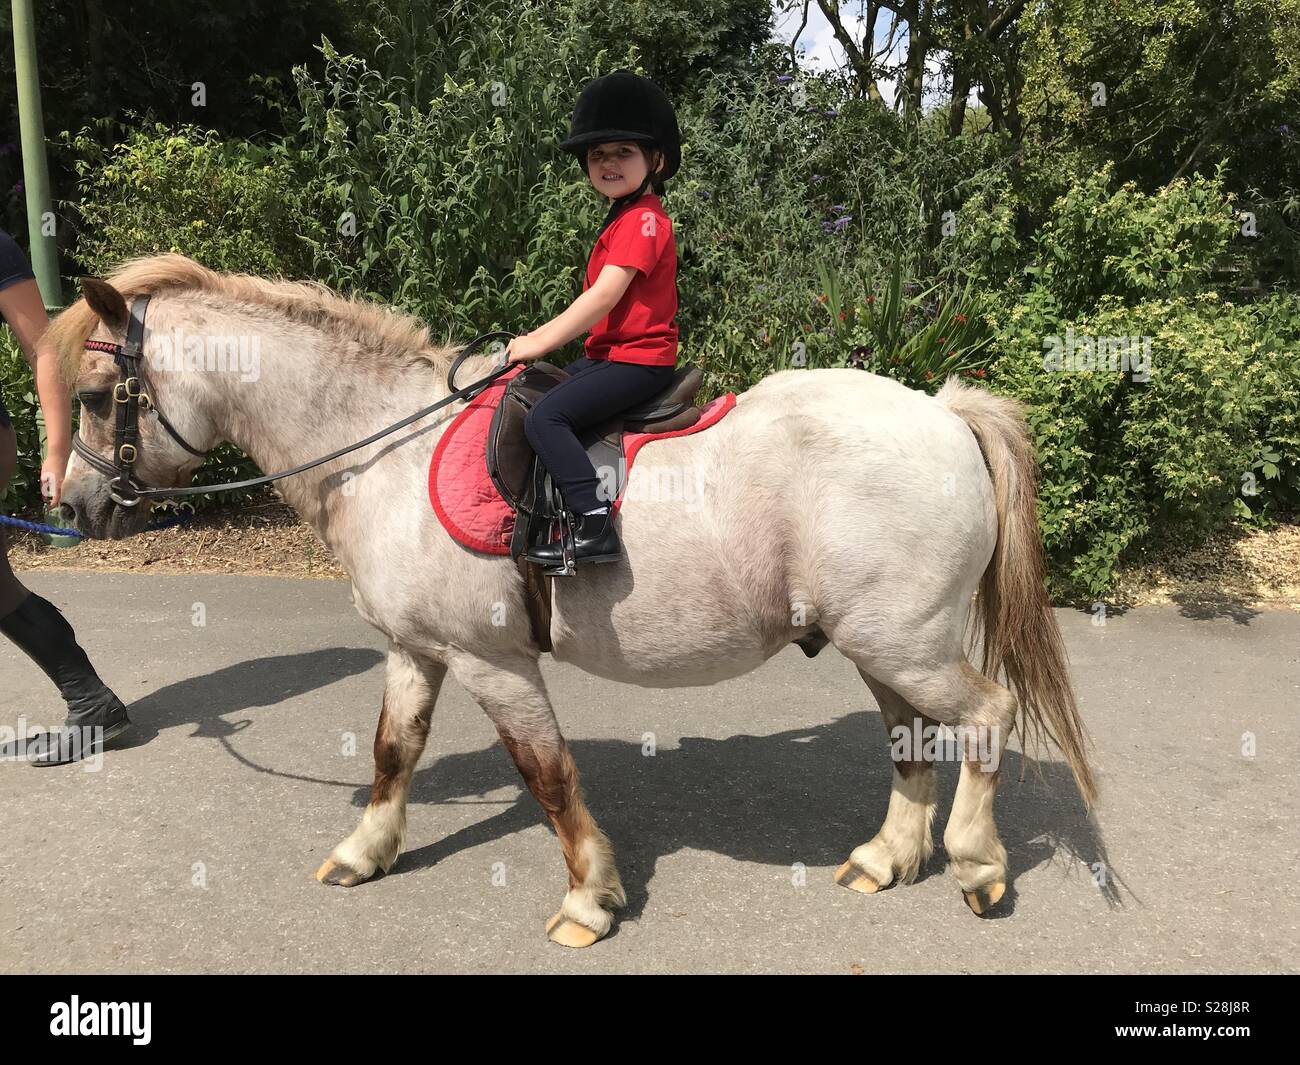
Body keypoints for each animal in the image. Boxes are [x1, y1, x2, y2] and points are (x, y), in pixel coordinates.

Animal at [47, 253, 1095, 948]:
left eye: (97, 393)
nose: (73, 506)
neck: (384, 448)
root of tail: (944, 411)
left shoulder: (493, 662)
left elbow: (547, 777)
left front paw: (590, 898)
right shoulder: (414, 649)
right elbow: (394, 750)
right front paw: (366, 848)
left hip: (904, 641)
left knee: (986, 714)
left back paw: (977, 863)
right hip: (878, 642)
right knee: (909, 735)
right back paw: (886, 857)